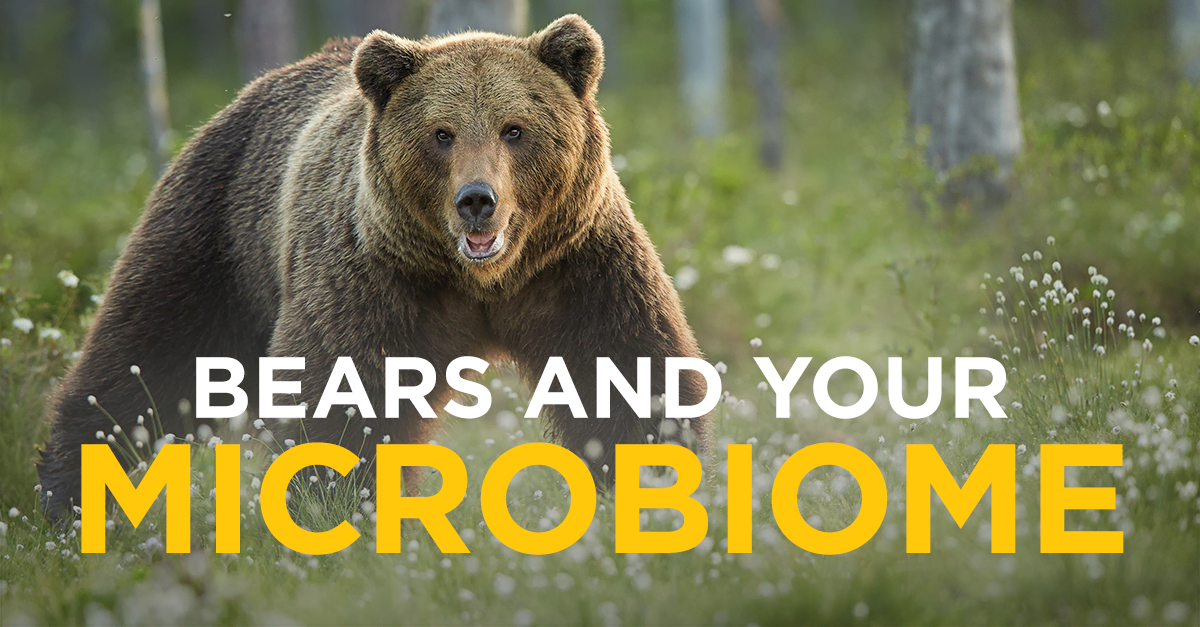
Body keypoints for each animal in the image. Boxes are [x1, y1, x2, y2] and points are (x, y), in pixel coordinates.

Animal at [37, 15, 708, 519]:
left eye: (515, 129)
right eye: (441, 133)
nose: (477, 200)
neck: (481, 282)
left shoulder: (576, 265)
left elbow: (630, 376)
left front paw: (655, 496)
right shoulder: (373, 277)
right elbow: (337, 401)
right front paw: (334, 516)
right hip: (217, 232)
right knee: (144, 358)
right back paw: (70, 497)